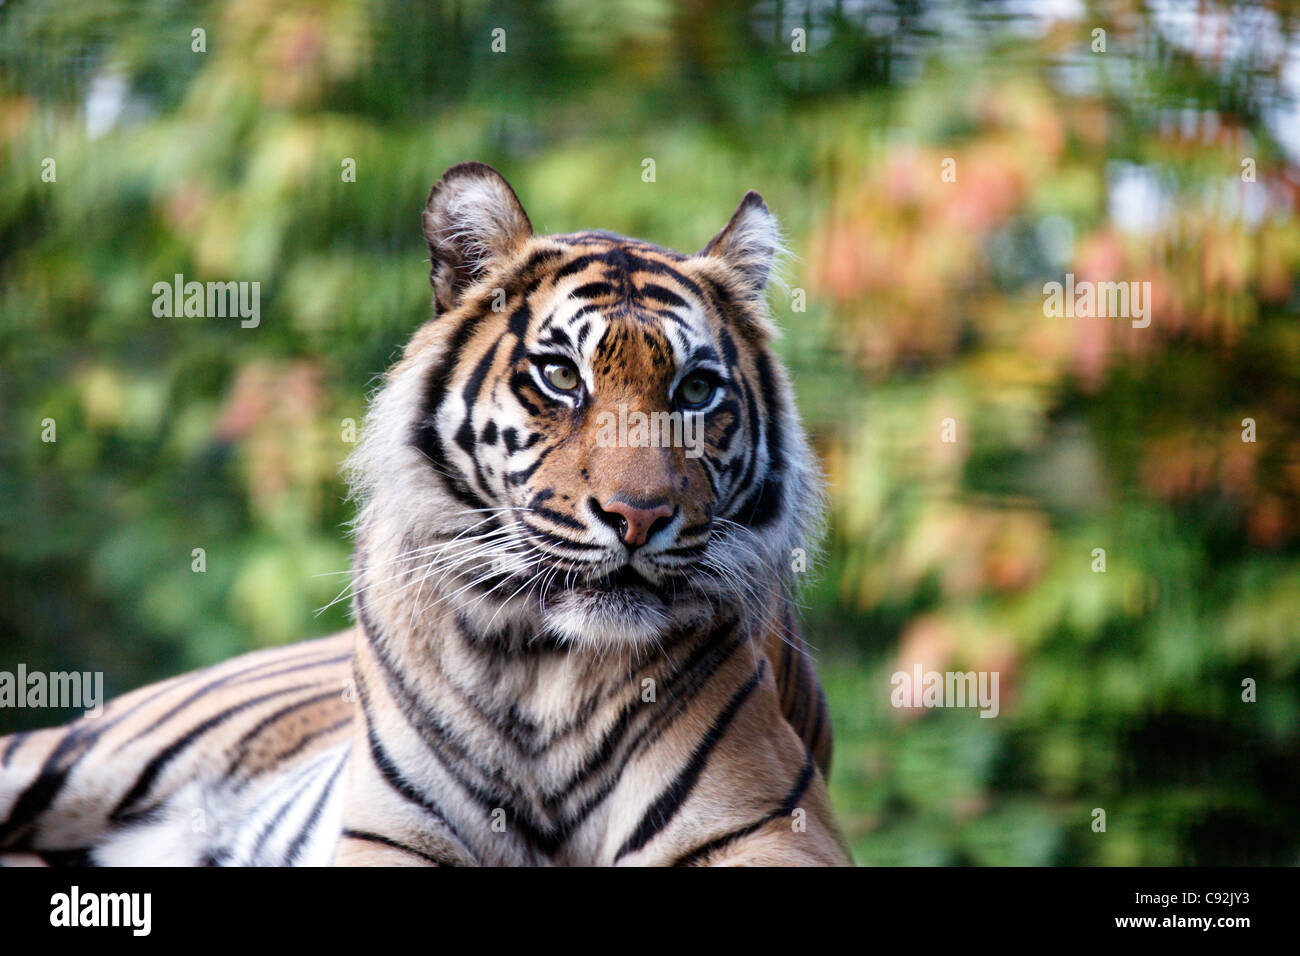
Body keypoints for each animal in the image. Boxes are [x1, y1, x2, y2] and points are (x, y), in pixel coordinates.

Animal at [0, 162, 852, 866]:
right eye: (559, 374)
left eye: (696, 390)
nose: (639, 517)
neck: (543, 671)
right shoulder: (393, 835)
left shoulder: (772, 827)